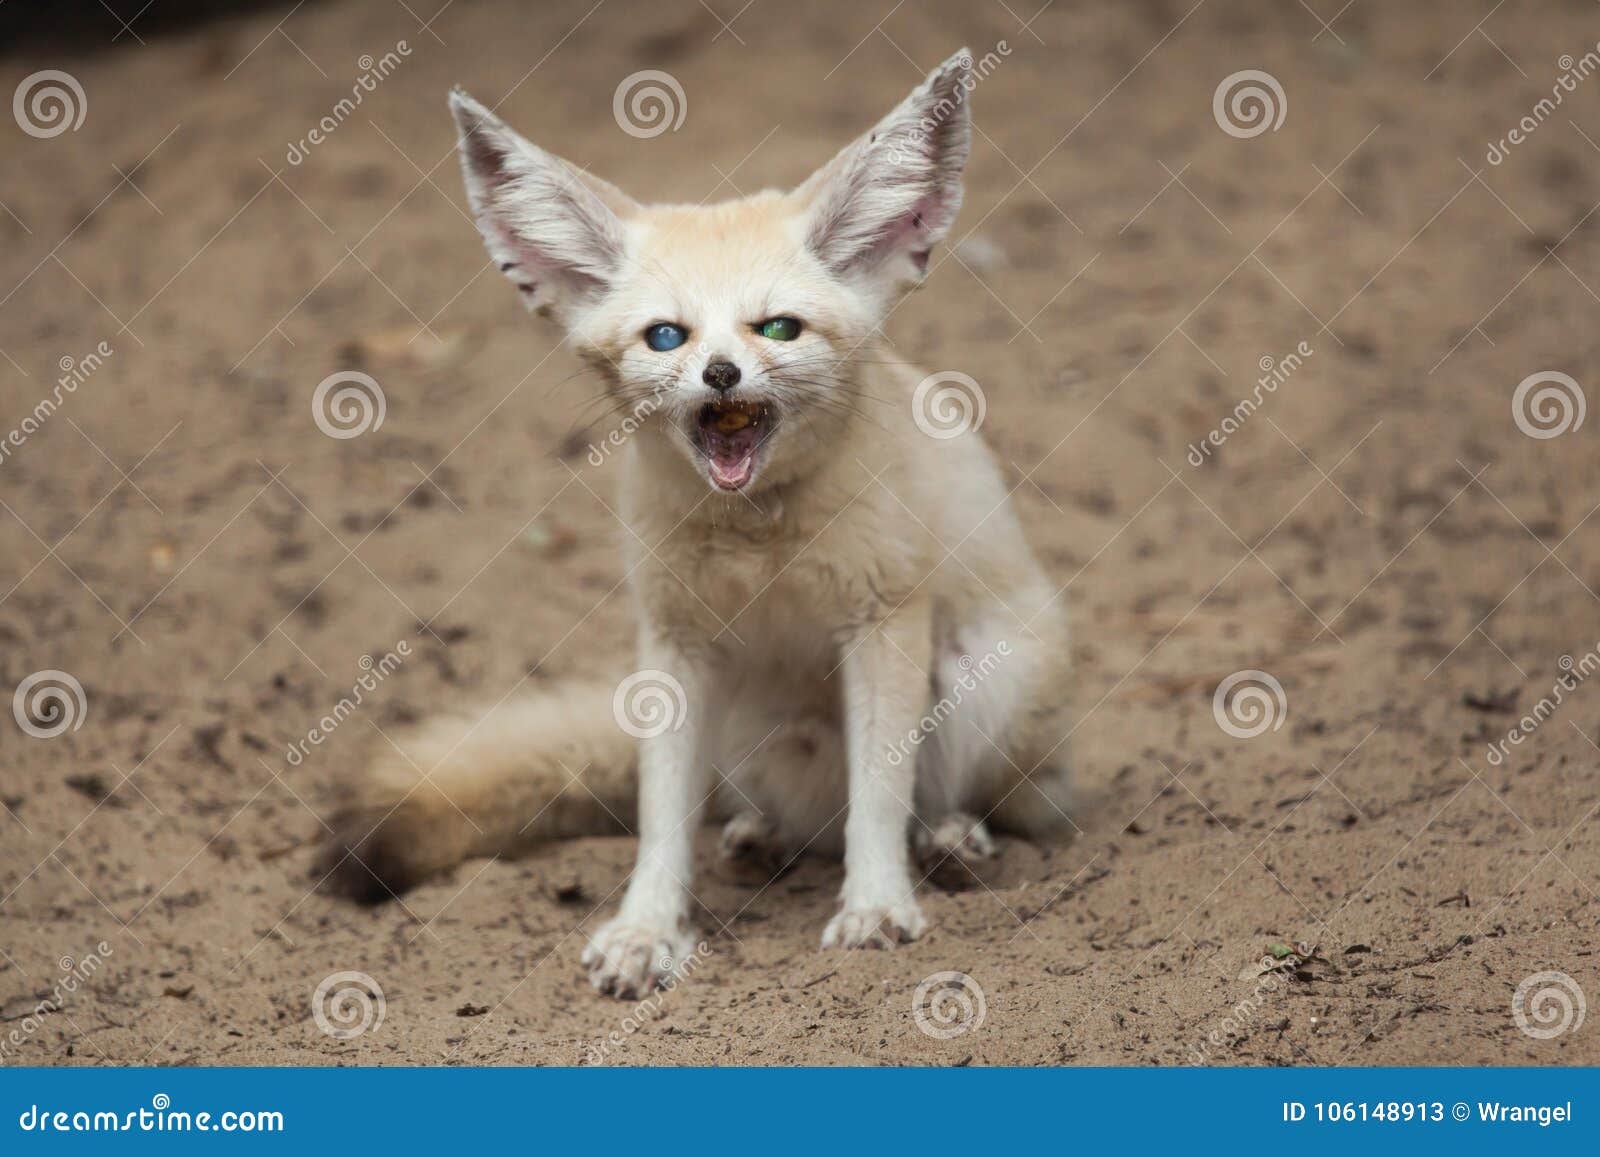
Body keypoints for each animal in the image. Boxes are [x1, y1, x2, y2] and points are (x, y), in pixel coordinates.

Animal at [316, 49, 1075, 998]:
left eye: (777, 327)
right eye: (667, 337)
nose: (719, 373)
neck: (757, 538)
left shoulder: (883, 619)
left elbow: (880, 793)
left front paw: (875, 905)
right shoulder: (674, 641)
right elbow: (661, 817)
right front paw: (647, 930)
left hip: (986, 677)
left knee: (966, 802)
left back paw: (950, 843)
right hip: (746, 724)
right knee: (771, 815)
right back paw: (761, 841)